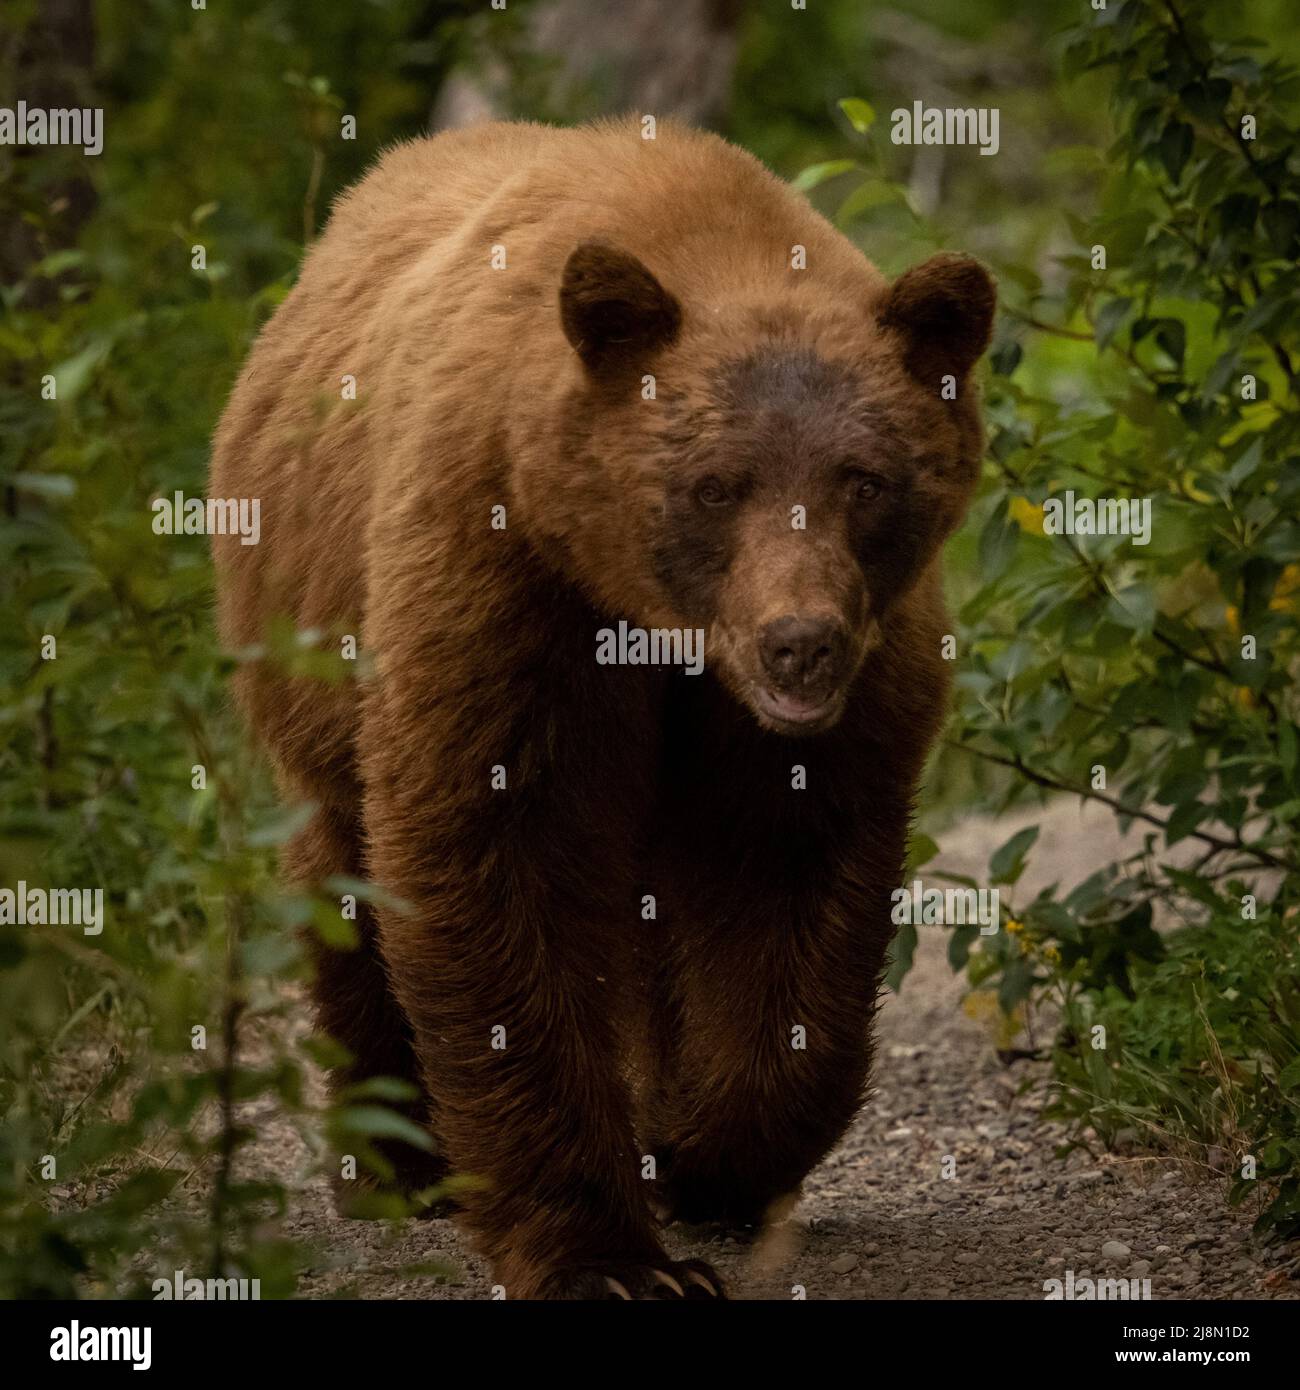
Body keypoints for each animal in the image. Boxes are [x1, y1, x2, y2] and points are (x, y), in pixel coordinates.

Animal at [210, 117, 995, 1300]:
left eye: (862, 479)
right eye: (717, 483)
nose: (799, 642)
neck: (660, 625)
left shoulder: (830, 685)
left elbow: (784, 867)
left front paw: (708, 1149)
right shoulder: (507, 570)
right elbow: (501, 852)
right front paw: (610, 1255)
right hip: (304, 630)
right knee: (342, 867)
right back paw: (395, 1158)